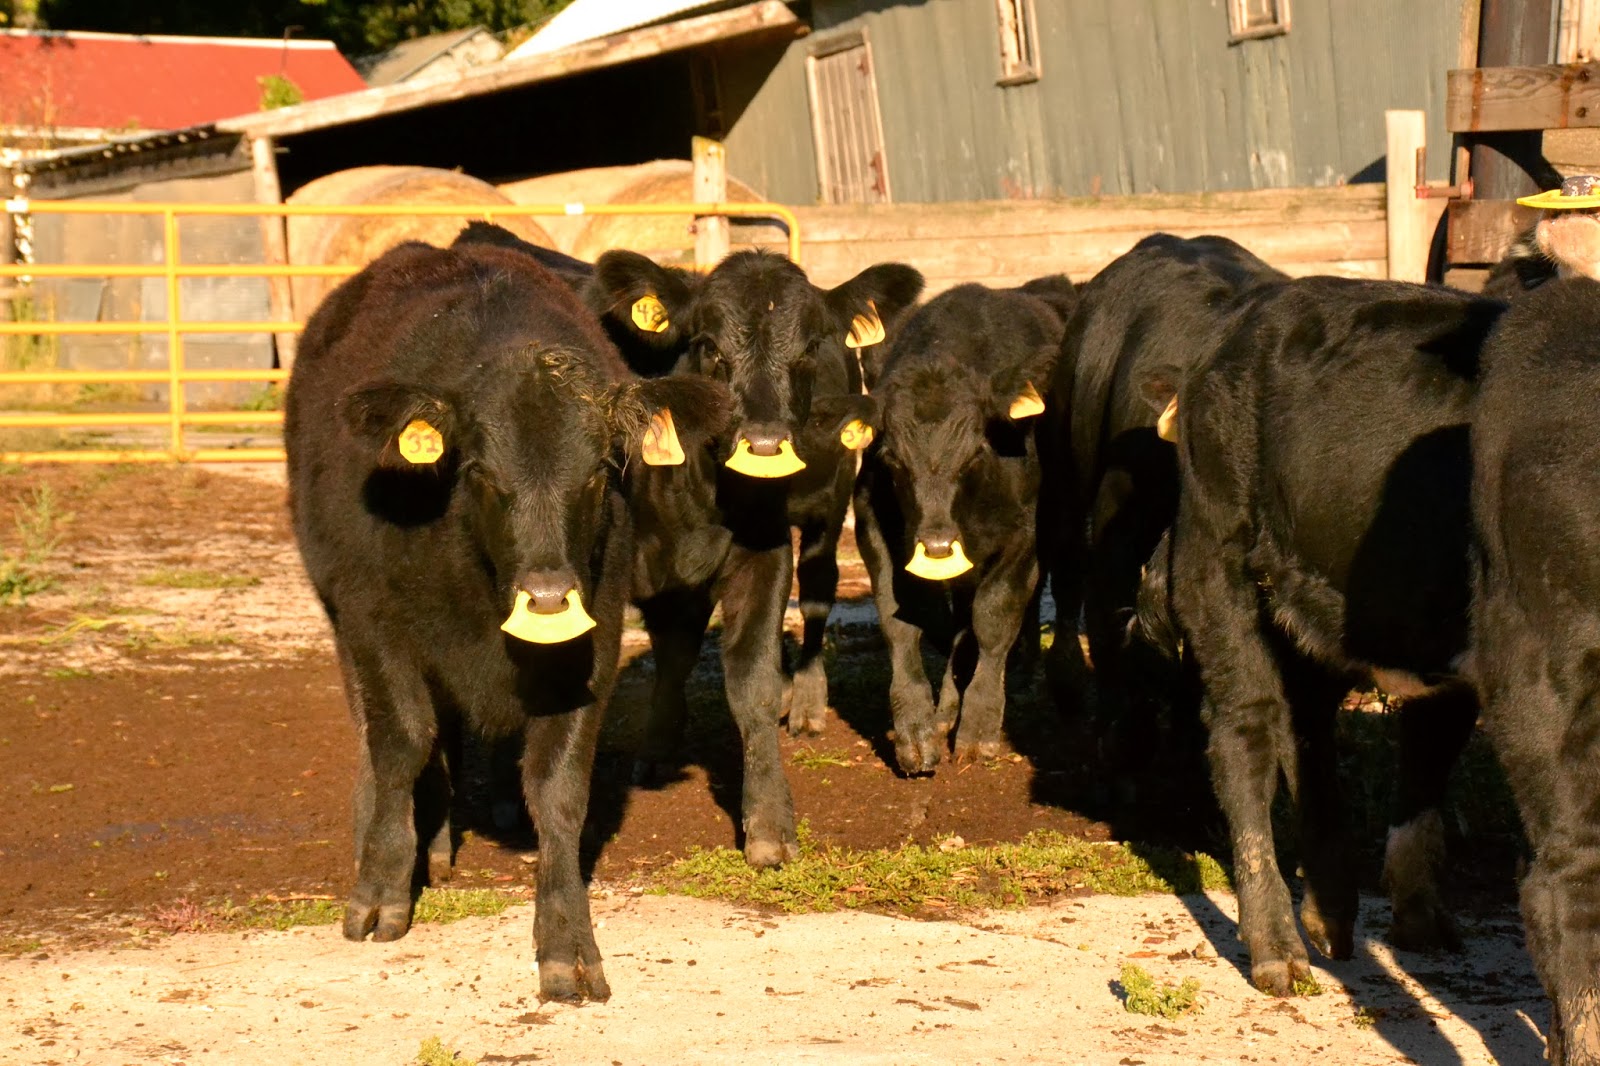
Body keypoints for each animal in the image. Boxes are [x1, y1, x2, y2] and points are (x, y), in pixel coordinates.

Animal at [284, 237, 727, 1002]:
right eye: (483, 474)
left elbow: (559, 788)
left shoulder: (592, 643)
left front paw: (567, 944)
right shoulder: (374, 619)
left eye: (598, 471)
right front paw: (380, 887)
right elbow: (400, 741)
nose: (547, 596)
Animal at [589, 248, 923, 865]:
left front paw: (769, 825)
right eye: (709, 346)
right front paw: (658, 743)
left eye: (811, 348)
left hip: (827, 502)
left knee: (818, 593)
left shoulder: (764, 555)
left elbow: (754, 685)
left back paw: (809, 701)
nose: (765, 445)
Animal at [852, 279, 1072, 773]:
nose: (936, 545)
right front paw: (916, 729)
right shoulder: (874, 530)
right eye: (893, 458)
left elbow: (993, 620)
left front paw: (980, 727)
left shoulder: (1023, 540)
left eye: (974, 453)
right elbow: (902, 622)